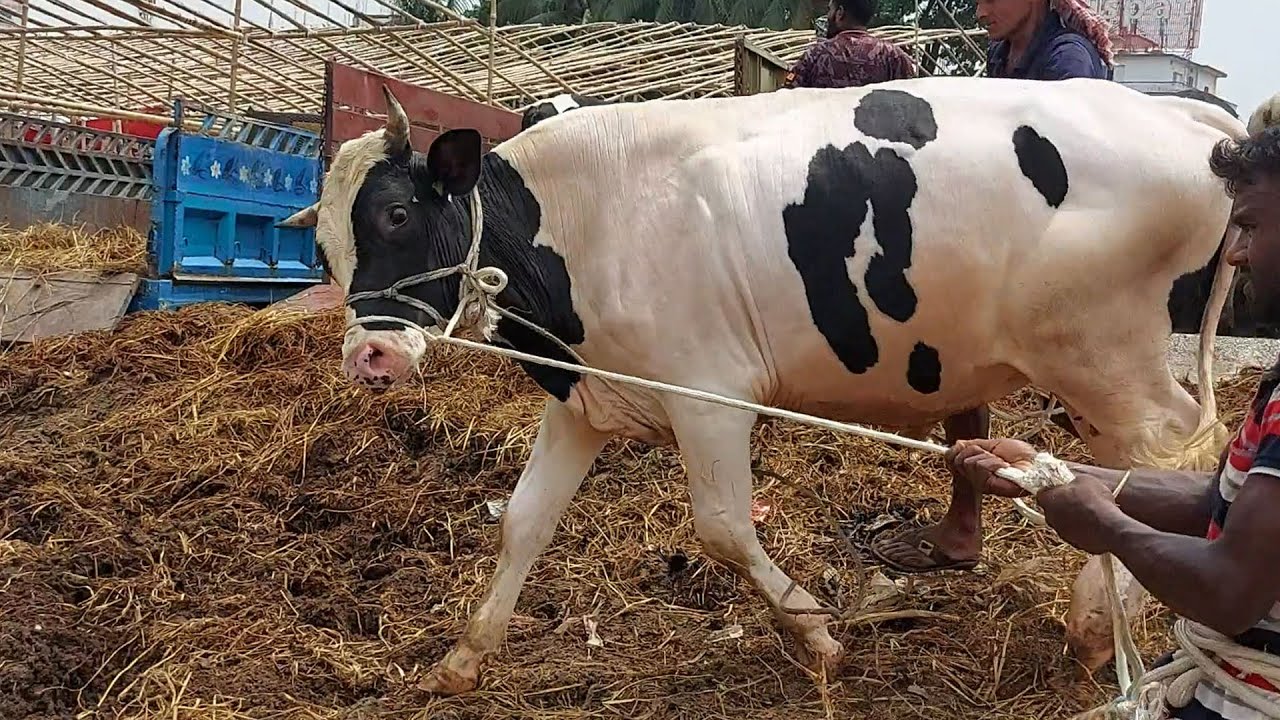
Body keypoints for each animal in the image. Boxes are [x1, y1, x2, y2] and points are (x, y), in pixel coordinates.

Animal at [279, 77, 1248, 694]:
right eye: (323, 248)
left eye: (397, 213)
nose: (368, 358)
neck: (587, 219)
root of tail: (1189, 118)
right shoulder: (586, 401)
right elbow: (523, 523)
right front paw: (462, 660)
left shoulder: (709, 395)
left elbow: (719, 527)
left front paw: (817, 634)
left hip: (1105, 355)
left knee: (1173, 452)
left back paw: (1093, 621)